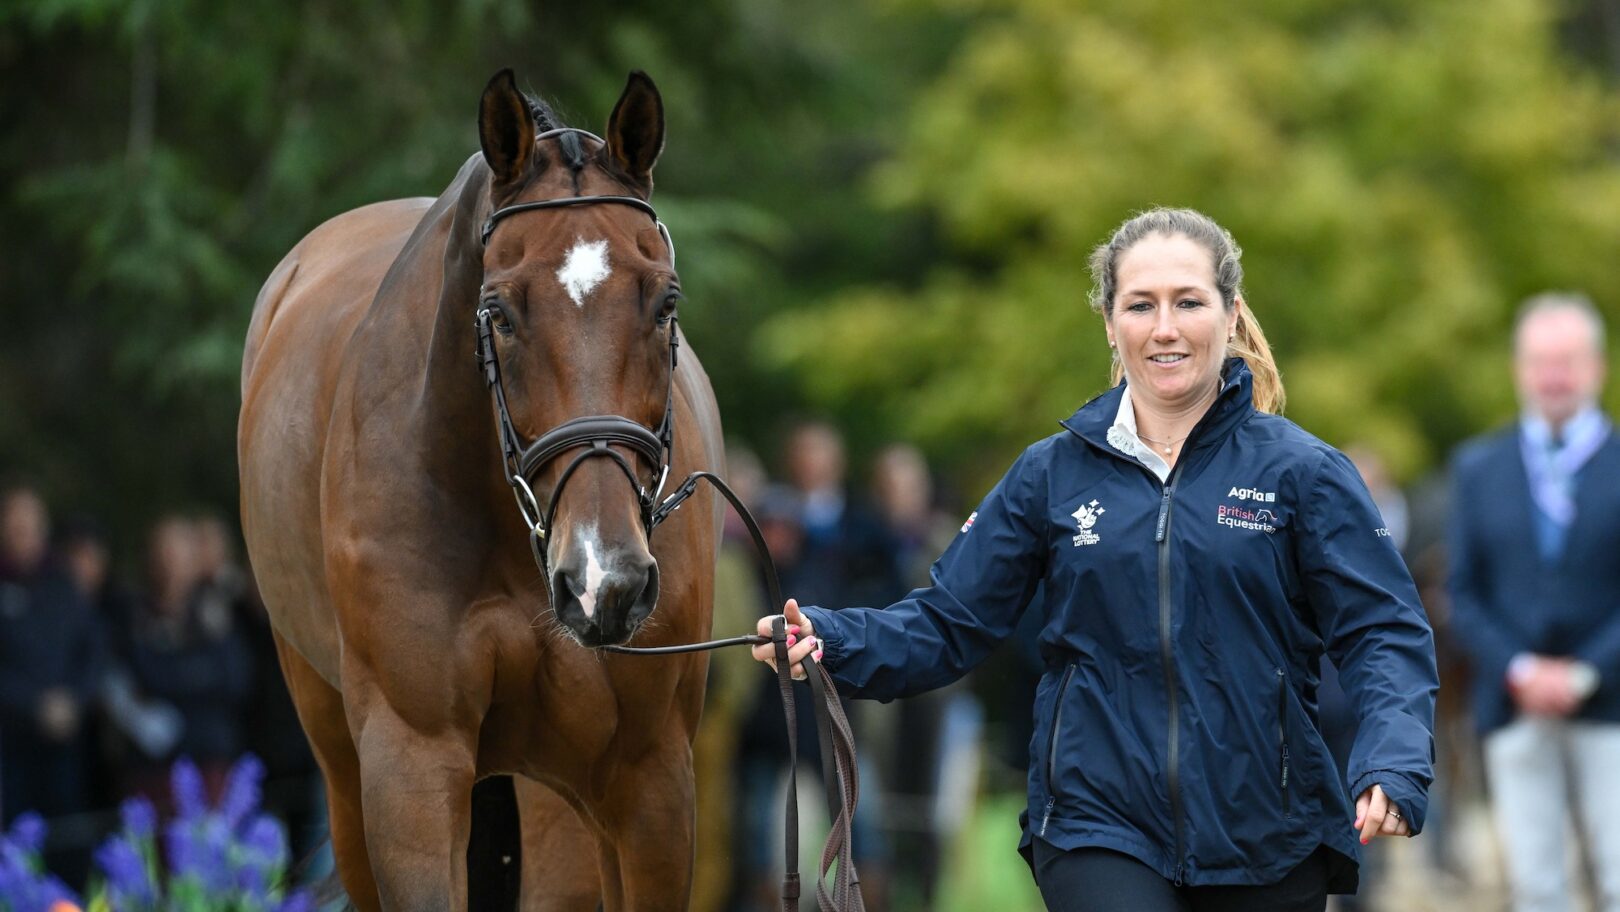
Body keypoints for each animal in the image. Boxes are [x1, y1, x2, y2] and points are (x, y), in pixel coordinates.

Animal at [238, 69, 724, 911]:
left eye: (666, 301)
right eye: (497, 312)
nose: (603, 580)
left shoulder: (651, 780)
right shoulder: (410, 769)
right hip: (338, 757)